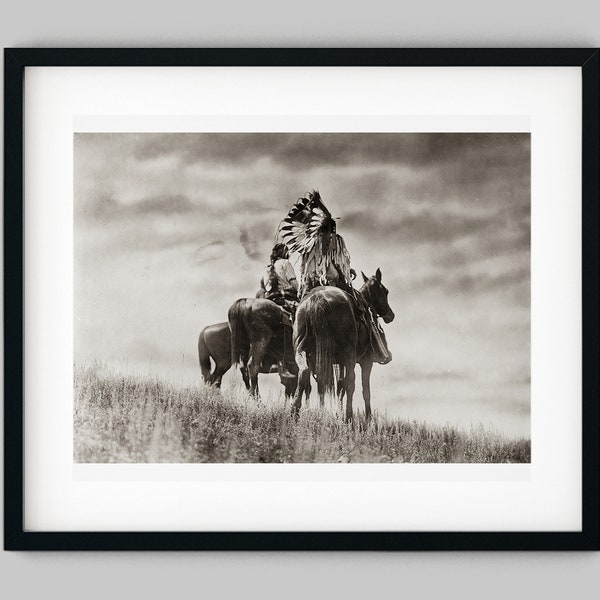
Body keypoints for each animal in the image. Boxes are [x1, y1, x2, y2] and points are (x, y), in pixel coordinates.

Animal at [290, 270, 394, 420]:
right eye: (385, 291)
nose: (391, 315)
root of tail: (317, 299)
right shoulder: (366, 361)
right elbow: (364, 389)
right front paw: (368, 418)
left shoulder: (337, 362)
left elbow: (339, 386)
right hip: (349, 355)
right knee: (350, 382)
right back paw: (348, 416)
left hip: (302, 351)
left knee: (304, 373)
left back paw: (294, 411)